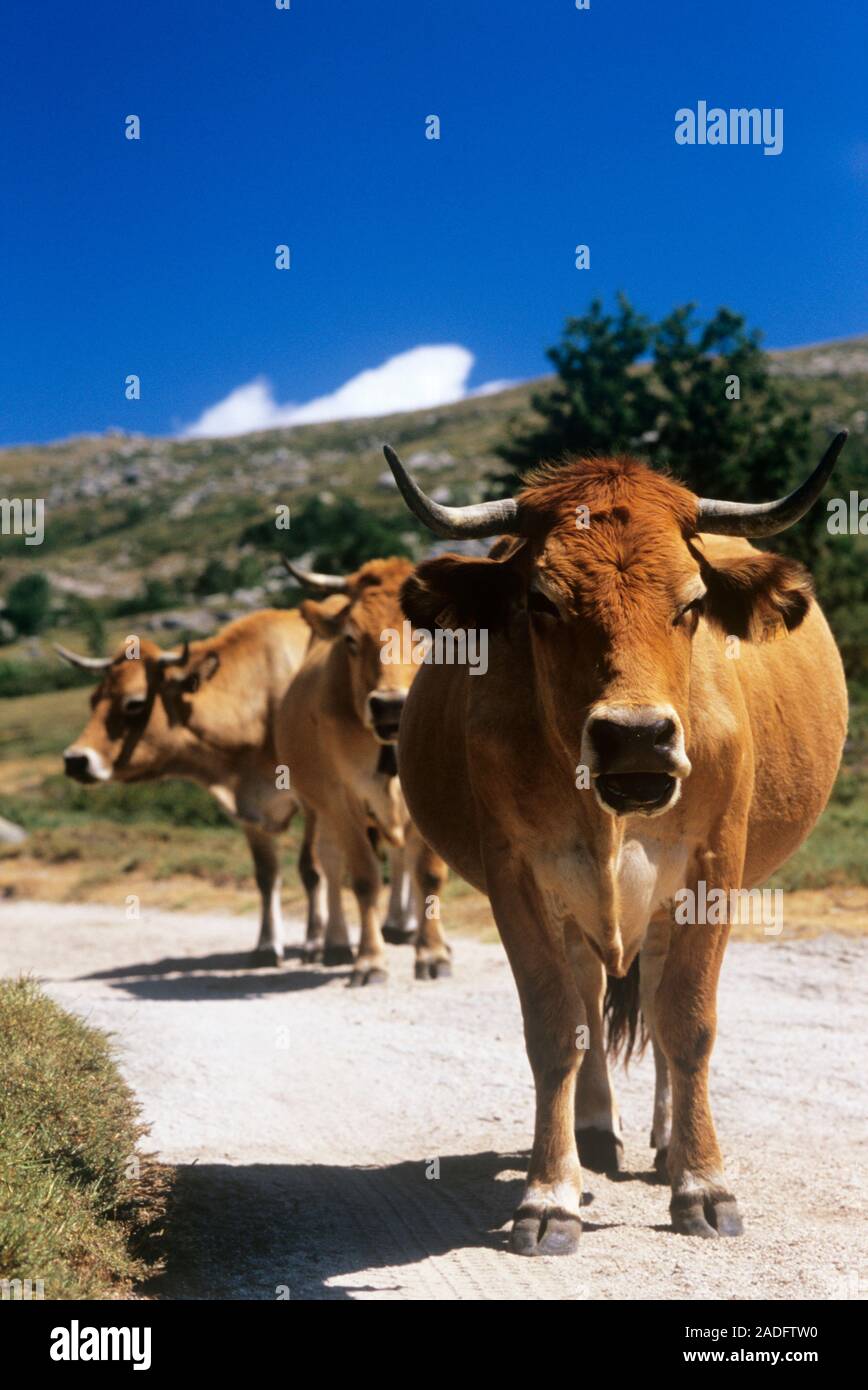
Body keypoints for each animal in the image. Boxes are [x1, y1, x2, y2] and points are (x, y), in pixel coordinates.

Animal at [58, 609, 331, 966]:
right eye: (93, 700)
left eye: (134, 703)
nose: (75, 759)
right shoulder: (249, 809)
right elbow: (266, 875)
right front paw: (266, 946)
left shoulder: (315, 802)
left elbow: (312, 869)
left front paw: (315, 942)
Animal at [278, 556, 451, 986]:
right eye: (351, 639)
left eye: (426, 635)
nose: (390, 705)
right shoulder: (342, 800)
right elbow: (364, 878)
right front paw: (370, 960)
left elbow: (428, 872)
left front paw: (434, 952)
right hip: (316, 806)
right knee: (328, 861)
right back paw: (337, 943)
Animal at [383, 432, 848, 1253]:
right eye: (541, 601)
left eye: (692, 603)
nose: (636, 738)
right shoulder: (517, 876)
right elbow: (555, 1026)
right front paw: (549, 1195)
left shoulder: (713, 866)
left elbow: (687, 1021)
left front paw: (705, 1183)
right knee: (591, 996)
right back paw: (597, 1133)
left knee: (657, 995)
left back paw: (668, 1143)